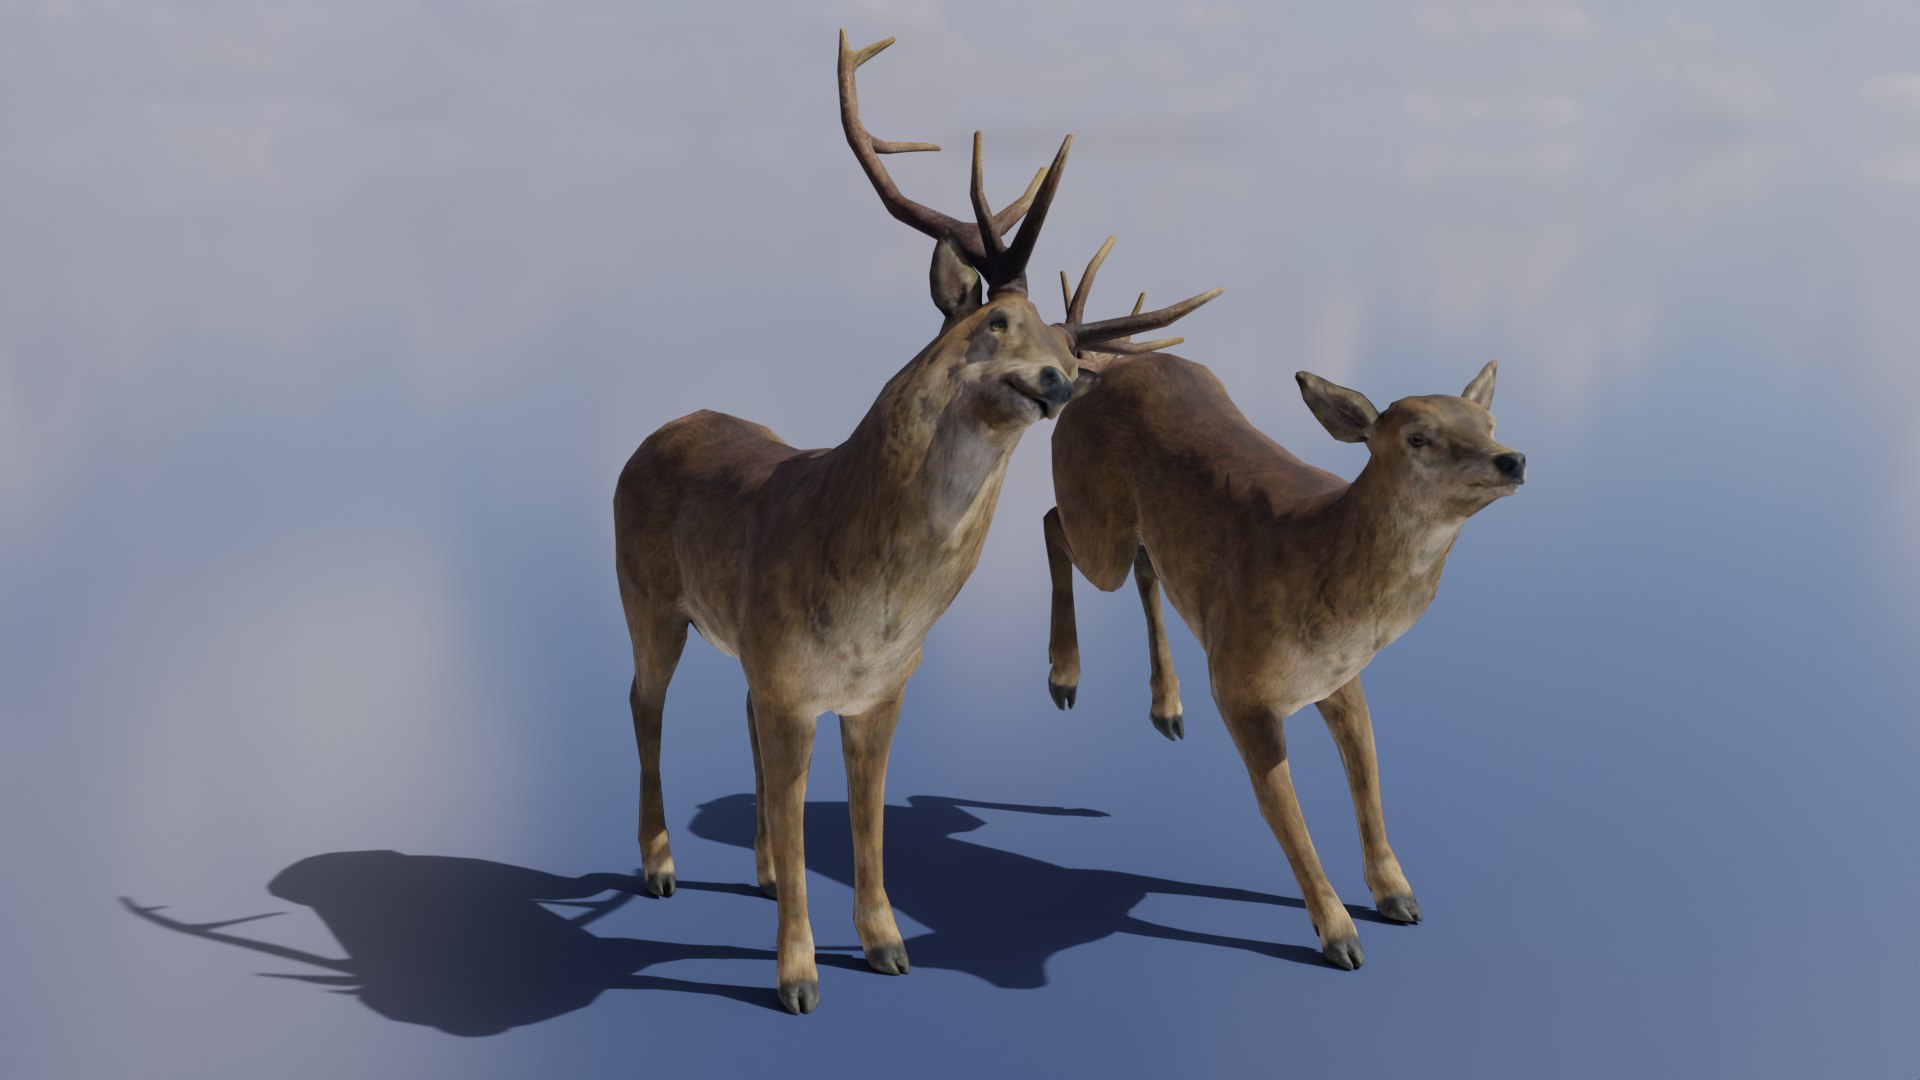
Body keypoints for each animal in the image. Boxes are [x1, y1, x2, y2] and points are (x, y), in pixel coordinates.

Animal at [611, 32, 1220, 1014]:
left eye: (1064, 340)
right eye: (997, 319)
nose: (1063, 381)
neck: (870, 600)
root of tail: (652, 435)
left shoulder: (881, 689)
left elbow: (866, 817)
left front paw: (887, 945)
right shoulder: (793, 683)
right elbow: (805, 806)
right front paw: (797, 978)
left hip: (736, 643)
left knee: (733, 716)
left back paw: (764, 873)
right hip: (646, 598)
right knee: (643, 702)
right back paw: (660, 866)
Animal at [1039, 243, 1525, 971]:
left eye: (1489, 421)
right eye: (1417, 436)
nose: (1511, 459)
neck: (1320, 565)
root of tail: (1098, 374)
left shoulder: (1342, 680)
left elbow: (1369, 781)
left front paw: (1397, 895)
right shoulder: (1238, 688)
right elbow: (1285, 816)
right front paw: (1340, 936)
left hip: (1140, 533)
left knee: (1147, 565)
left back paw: (1167, 708)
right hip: (1093, 520)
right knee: (1053, 525)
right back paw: (1064, 678)